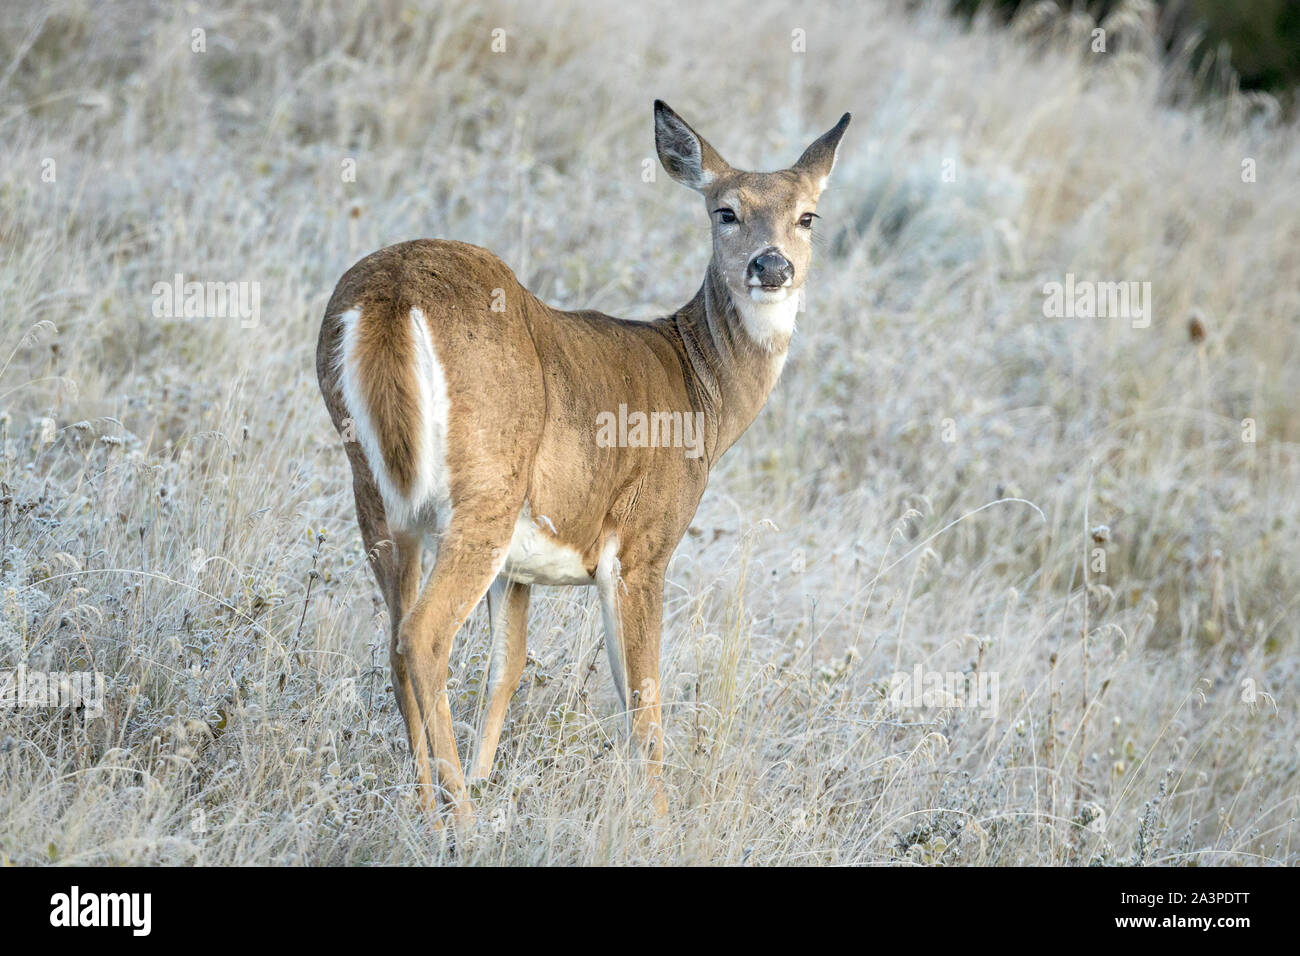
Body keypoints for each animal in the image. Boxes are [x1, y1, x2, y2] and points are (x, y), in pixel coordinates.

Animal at [316, 101, 850, 826]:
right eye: (725, 210)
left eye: (807, 215)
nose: (772, 267)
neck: (700, 391)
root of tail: (390, 295)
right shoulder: (642, 548)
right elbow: (643, 700)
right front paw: (660, 825)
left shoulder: (521, 568)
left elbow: (508, 667)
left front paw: (486, 776)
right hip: (485, 489)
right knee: (423, 636)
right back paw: (463, 826)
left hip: (375, 492)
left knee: (397, 638)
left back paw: (428, 807)